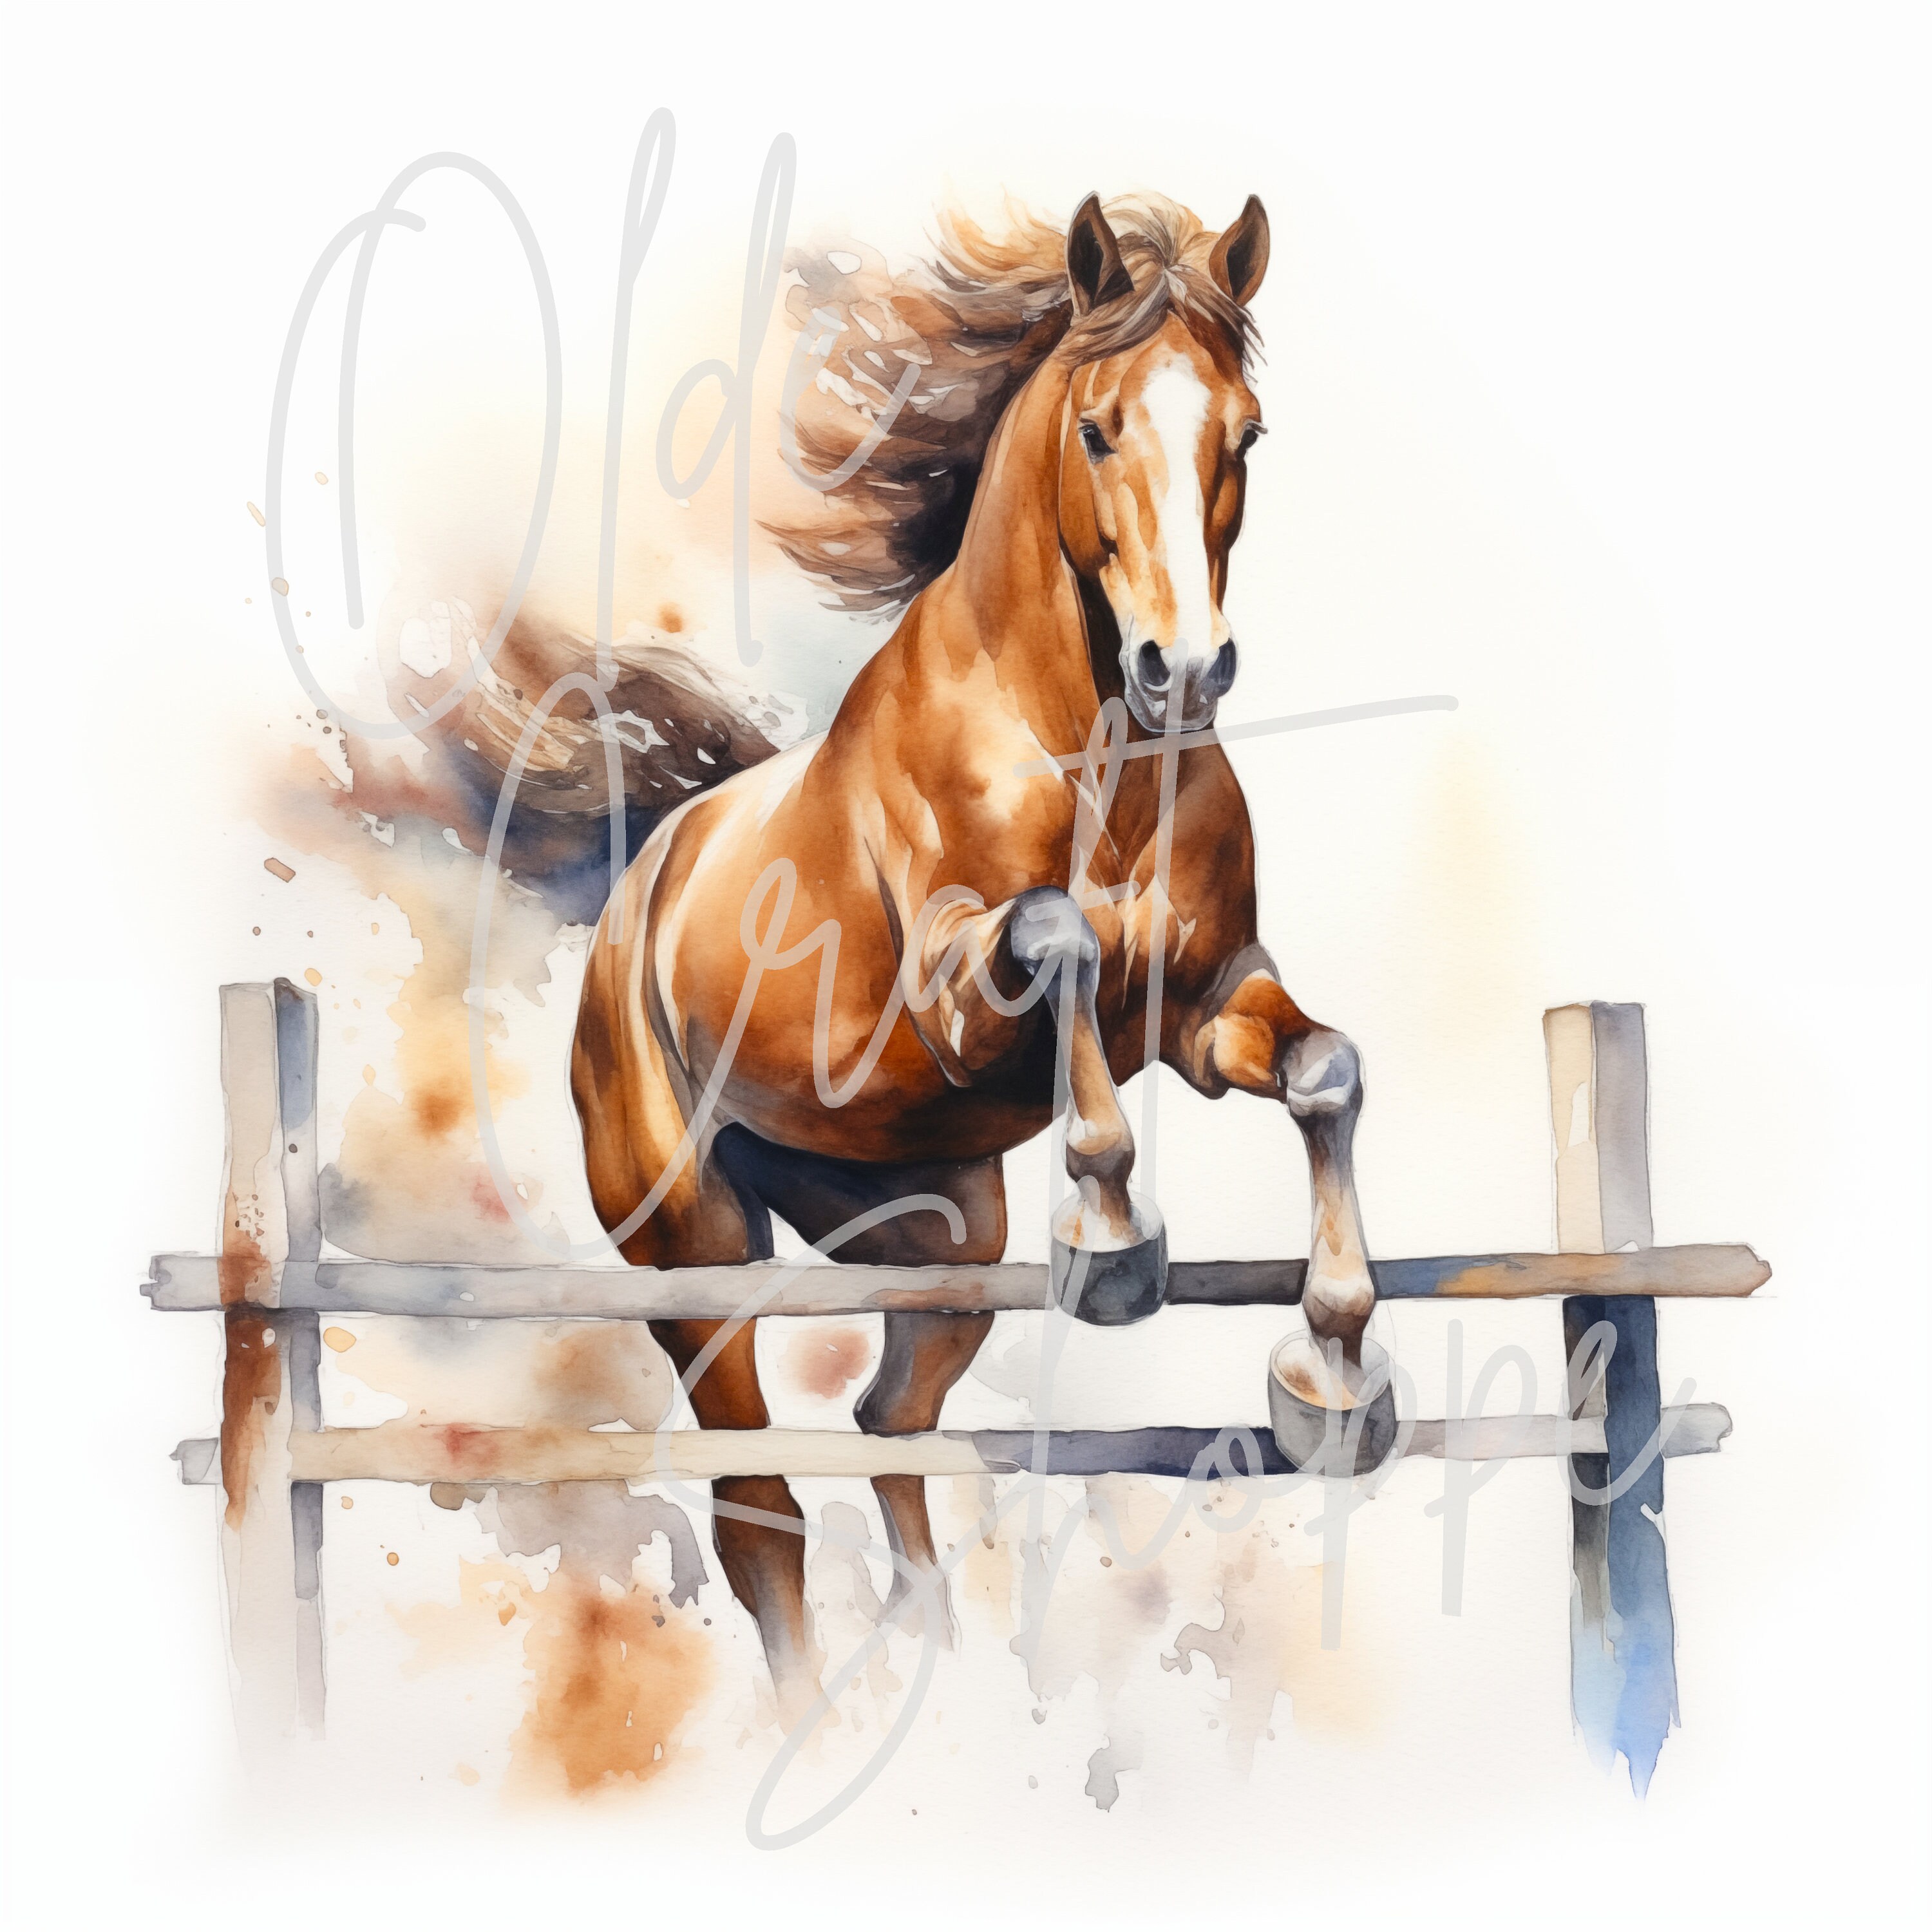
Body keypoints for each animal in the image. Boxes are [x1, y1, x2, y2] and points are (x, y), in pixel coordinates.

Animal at [570, 191, 1377, 1719]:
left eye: (1244, 433)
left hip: (935, 1240)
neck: (1093, 747)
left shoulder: (1206, 1010)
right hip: (695, 1259)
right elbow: (1057, 940)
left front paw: (1339, 1371)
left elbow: (1324, 1075)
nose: (1186, 672)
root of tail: (643, 881)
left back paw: (939, 1672)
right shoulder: (961, 989)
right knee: (759, 1505)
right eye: (1101, 429)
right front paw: (1115, 1237)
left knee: (892, 1422)